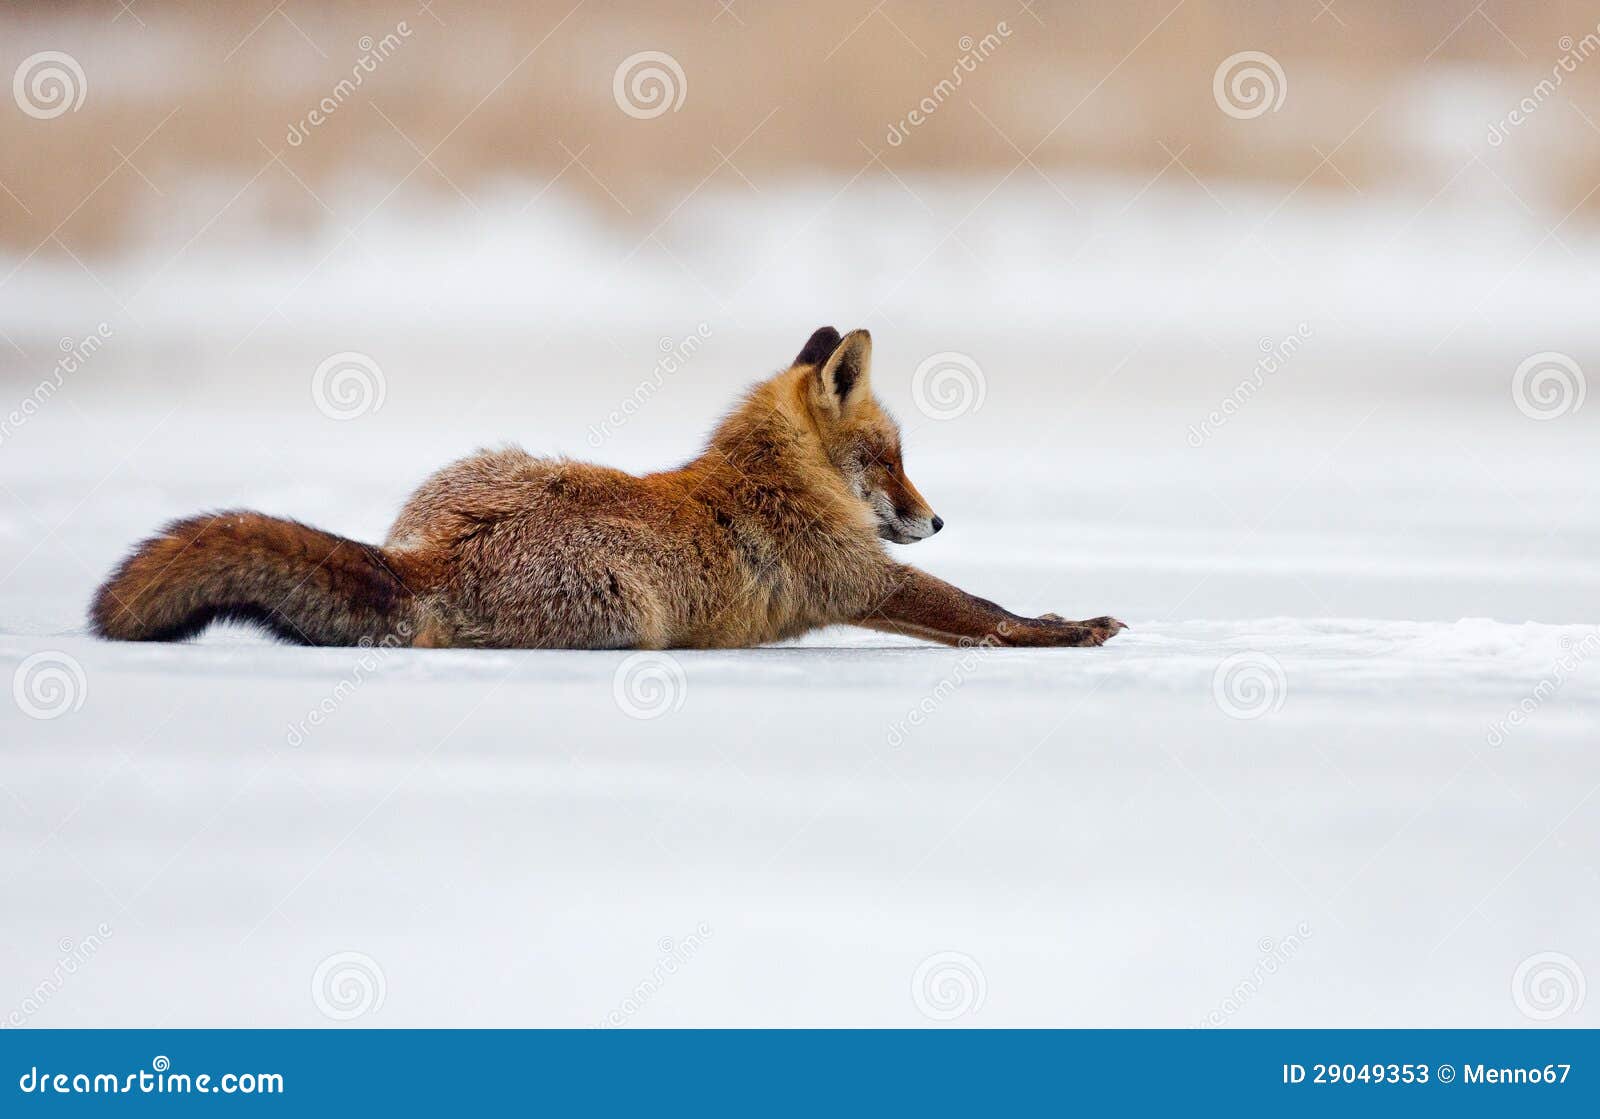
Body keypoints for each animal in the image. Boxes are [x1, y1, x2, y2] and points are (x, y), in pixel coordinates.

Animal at [90, 327, 1125, 650]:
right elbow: (989, 613)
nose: (937, 518)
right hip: (634, 613)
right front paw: (1072, 628)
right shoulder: (862, 580)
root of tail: (427, 556)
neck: (776, 477)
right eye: (890, 458)